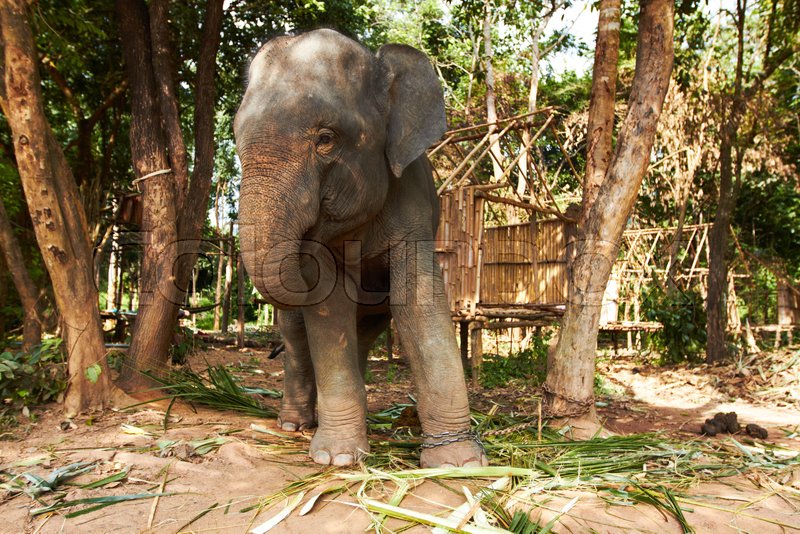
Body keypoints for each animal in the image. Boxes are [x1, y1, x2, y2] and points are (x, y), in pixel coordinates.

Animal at [234, 29, 487, 468]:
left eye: (325, 139)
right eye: (235, 141)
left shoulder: (411, 200)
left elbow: (417, 302)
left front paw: (459, 463)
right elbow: (328, 307)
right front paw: (335, 458)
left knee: (366, 331)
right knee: (296, 334)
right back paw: (294, 424)